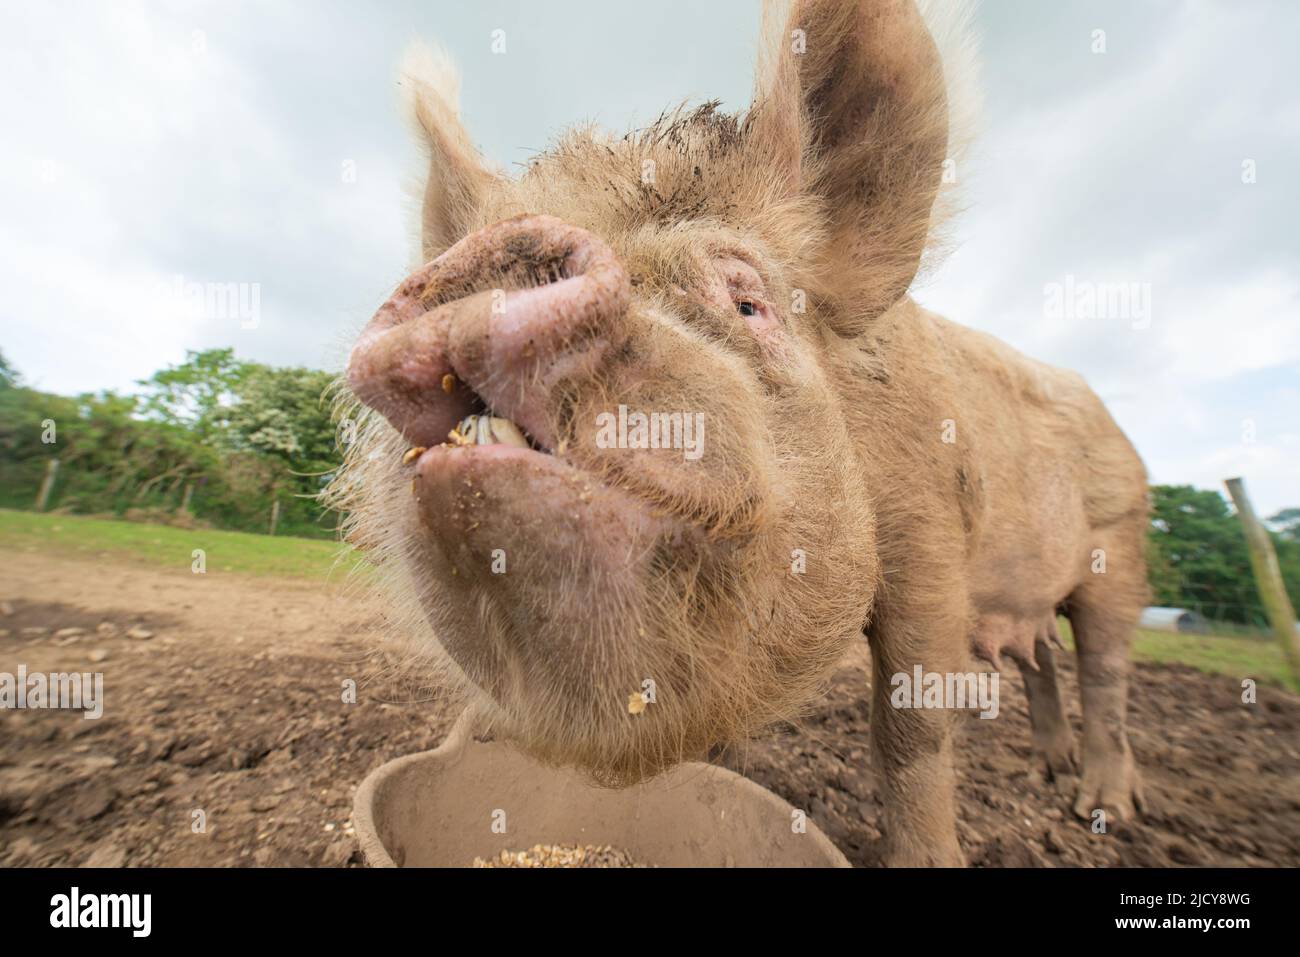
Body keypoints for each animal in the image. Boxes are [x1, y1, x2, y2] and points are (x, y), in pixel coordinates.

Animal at [331, 0, 1149, 866]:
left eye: (748, 301)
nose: (505, 251)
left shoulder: (933, 531)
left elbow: (913, 720)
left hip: (1121, 544)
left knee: (1103, 668)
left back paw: (1103, 806)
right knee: (1044, 660)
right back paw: (1049, 771)